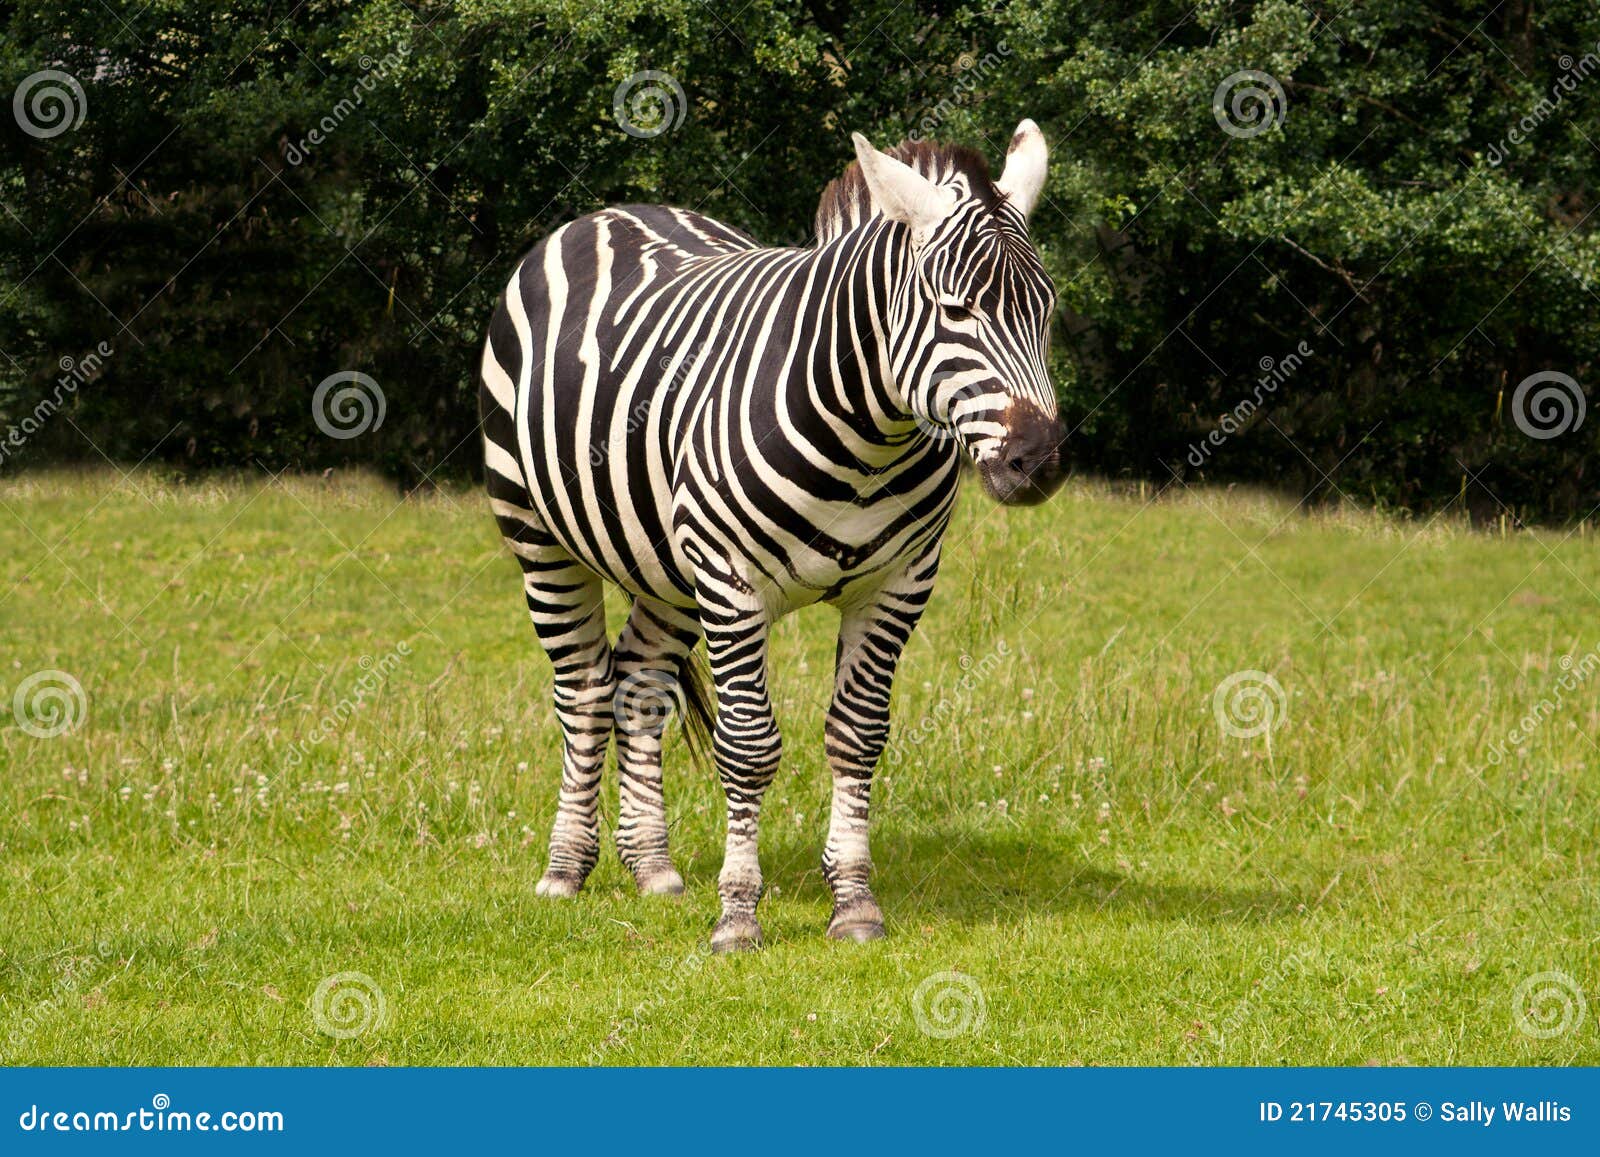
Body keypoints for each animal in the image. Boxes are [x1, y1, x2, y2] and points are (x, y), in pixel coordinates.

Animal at [479, 119, 1066, 952]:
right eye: (954, 311)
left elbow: (858, 733)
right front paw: (738, 914)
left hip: (669, 567)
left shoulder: (899, 585)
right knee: (585, 689)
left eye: (1045, 311)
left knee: (640, 680)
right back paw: (566, 867)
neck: (869, 436)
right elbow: (750, 746)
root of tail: (608, 212)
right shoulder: (731, 580)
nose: (1038, 460)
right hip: (541, 539)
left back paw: (651, 865)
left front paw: (854, 901)